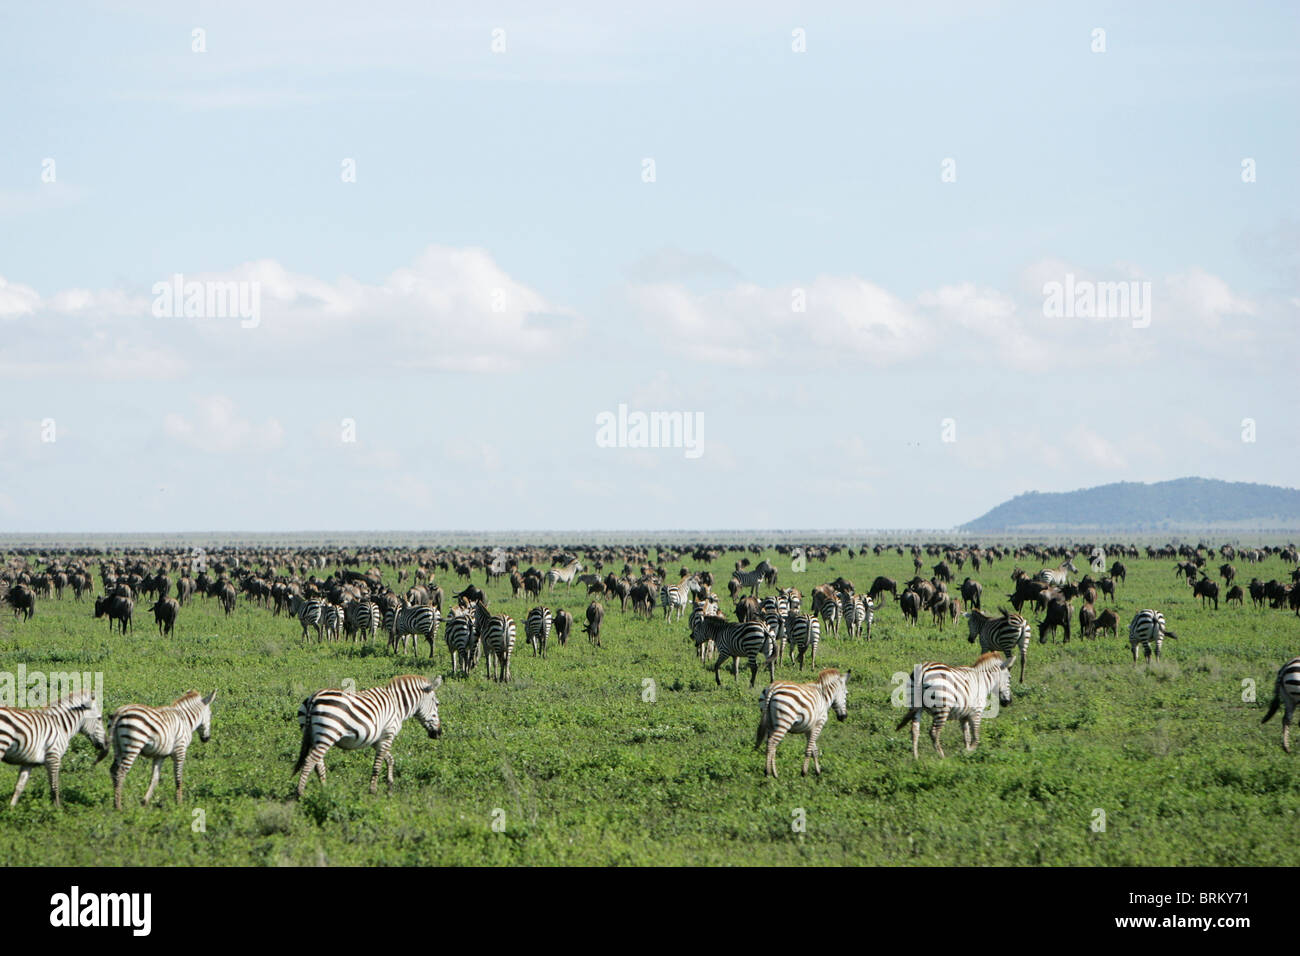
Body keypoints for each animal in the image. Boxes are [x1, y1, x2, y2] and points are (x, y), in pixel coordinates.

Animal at [294, 675, 443, 798]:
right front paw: (373, 790)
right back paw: (300, 793)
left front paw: (389, 787)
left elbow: (389, 759)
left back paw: (325, 789)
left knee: (317, 763)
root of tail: (314, 698)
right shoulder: (388, 734)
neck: (397, 705)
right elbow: (378, 764)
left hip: (314, 735)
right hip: (327, 733)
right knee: (310, 761)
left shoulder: (377, 739)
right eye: (437, 704)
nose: (439, 733)